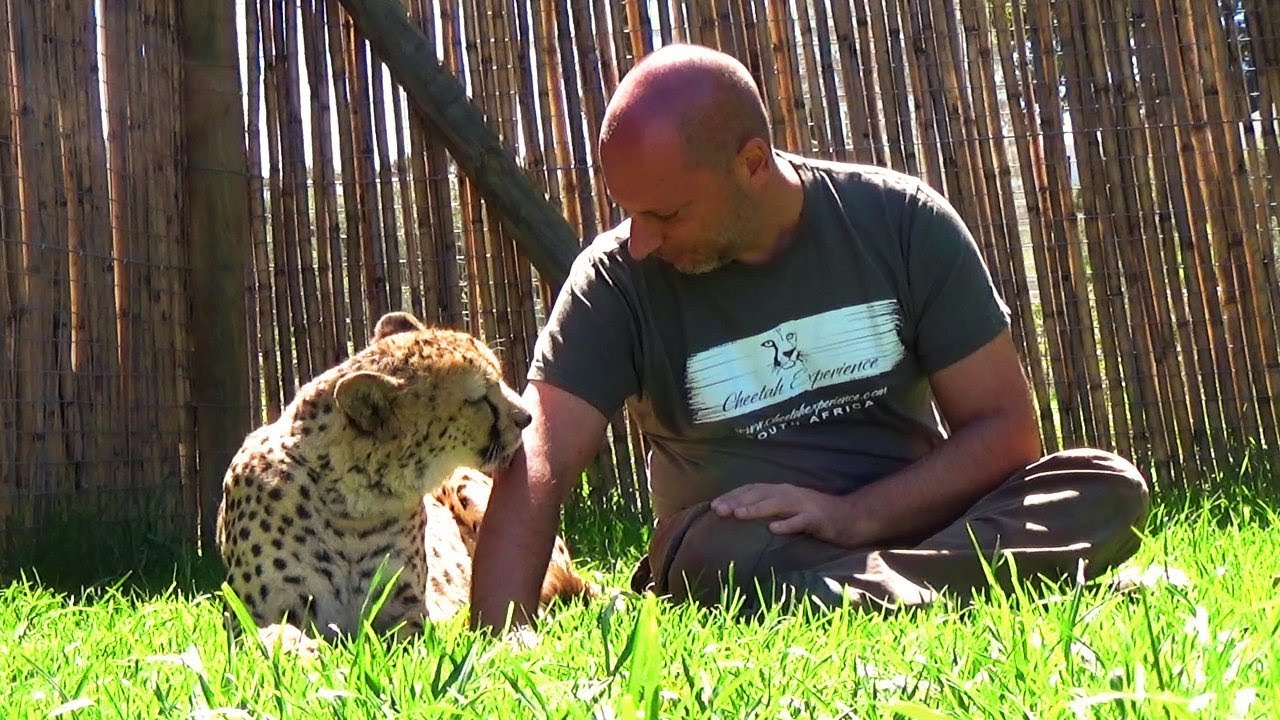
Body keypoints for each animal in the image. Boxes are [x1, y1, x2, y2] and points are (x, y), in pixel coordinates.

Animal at [215, 310, 594, 647]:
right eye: (479, 399)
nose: (526, 418)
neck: (351, 503)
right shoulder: (248, 617)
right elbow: (274, 636)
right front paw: (307, 654)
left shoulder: (407, 613)